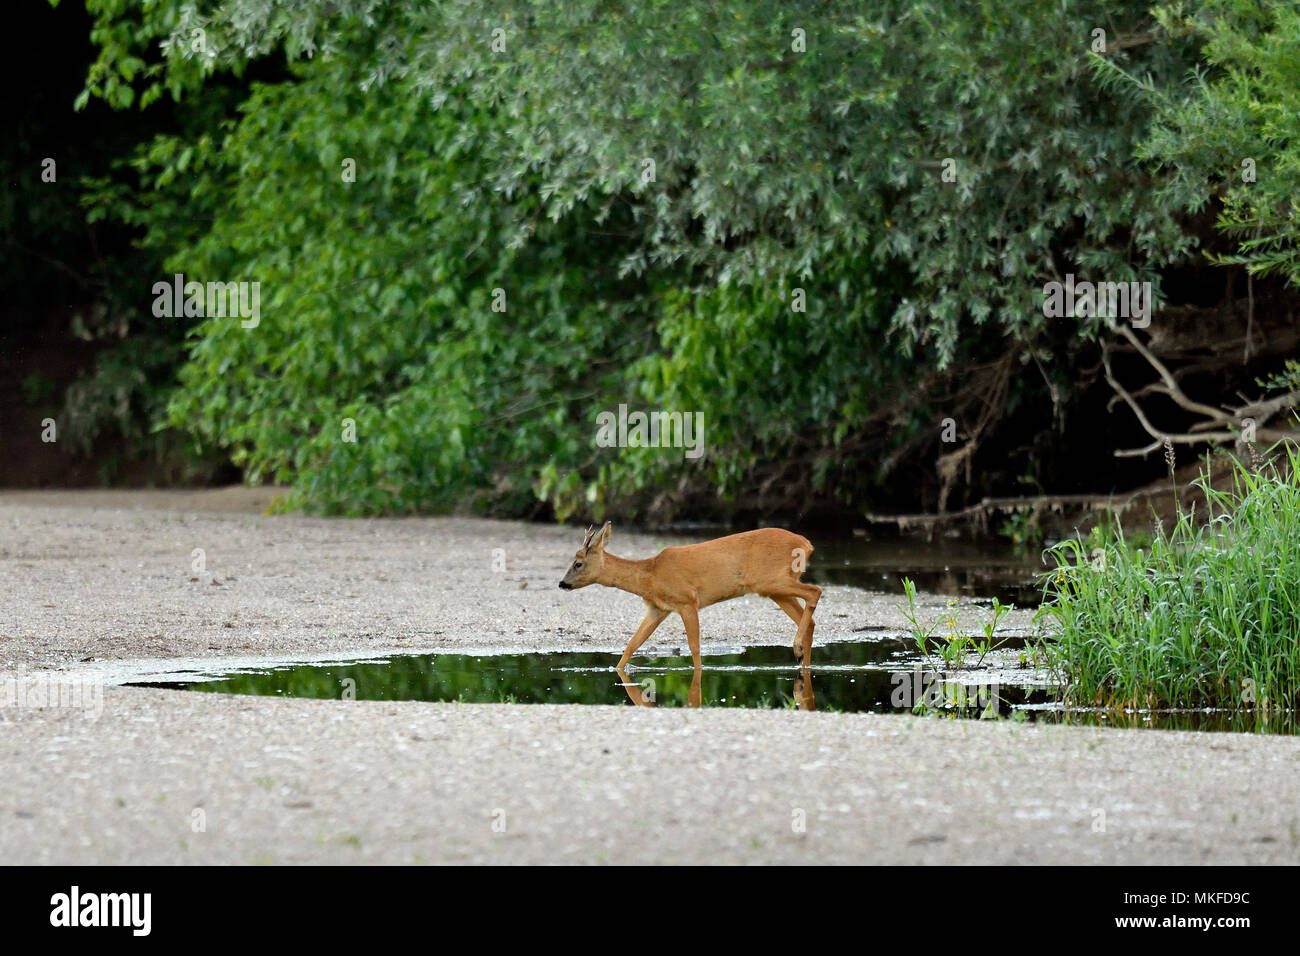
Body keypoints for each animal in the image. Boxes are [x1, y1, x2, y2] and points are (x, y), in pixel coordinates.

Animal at [557, 522, 821, 703]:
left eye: (578, 563)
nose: (562, 583)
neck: (650, 575)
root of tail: (806, 544)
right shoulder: (658, 609)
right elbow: (633, 643)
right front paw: (619, 670)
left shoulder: (687, 601)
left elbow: (694, 646)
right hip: (774, 588)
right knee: (810, 620)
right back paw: (803, 666)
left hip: (771, 580)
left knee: (815, 591)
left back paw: (797, 649)